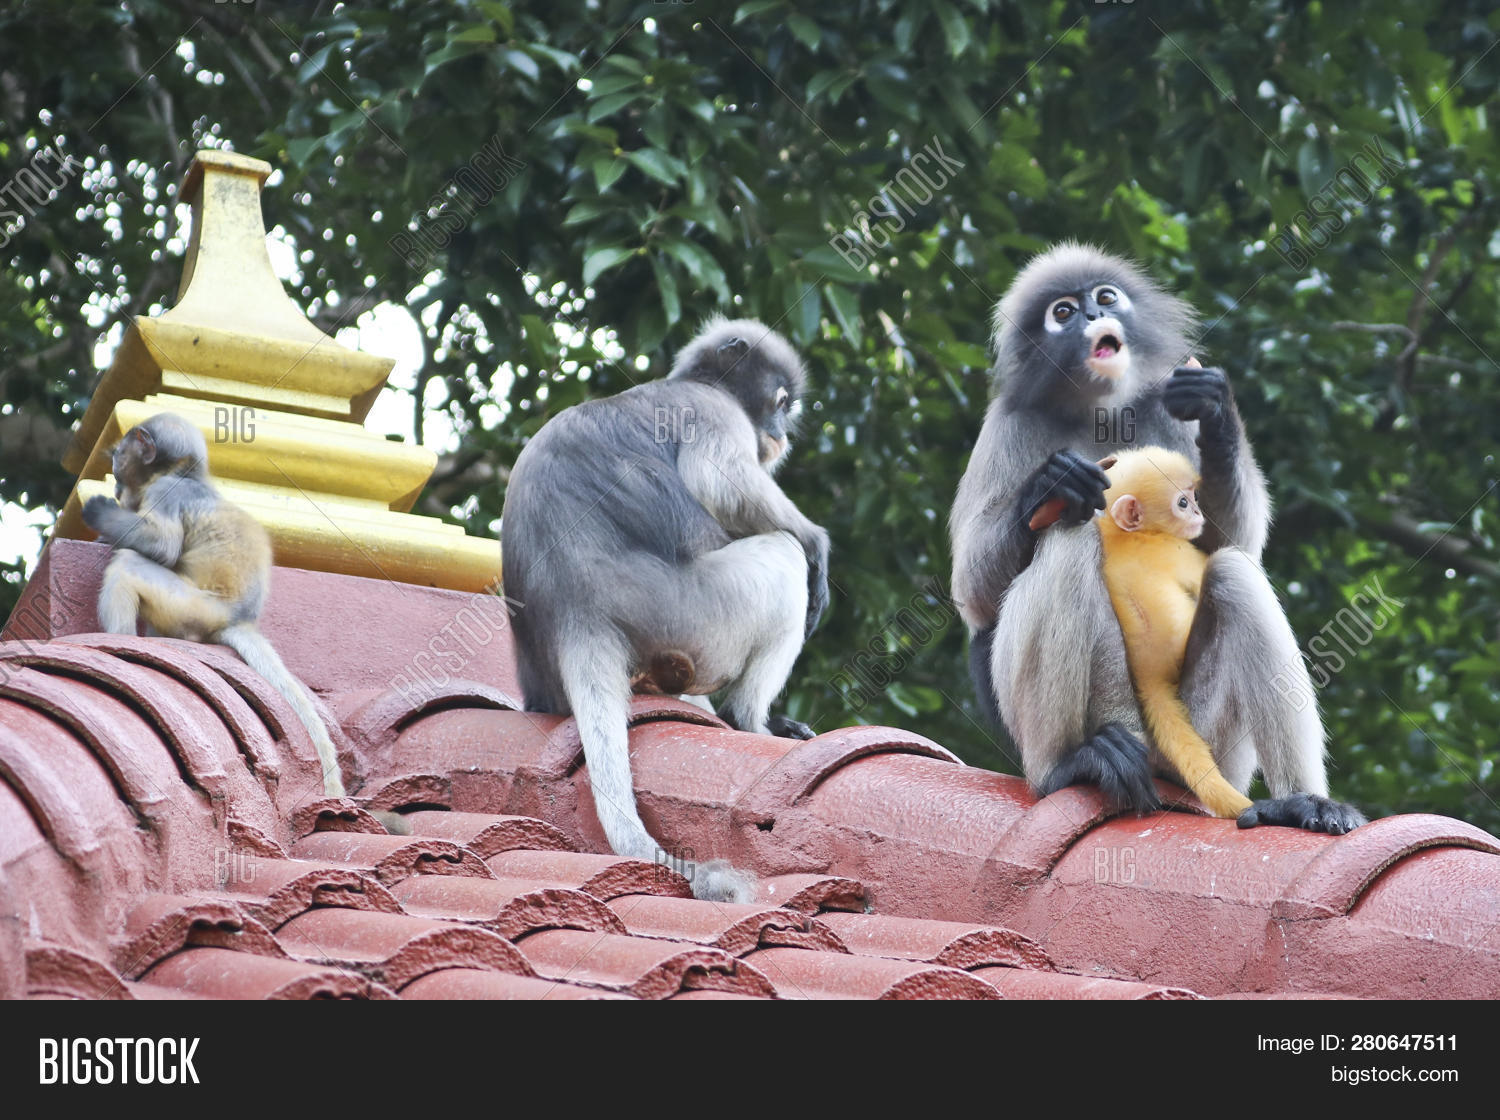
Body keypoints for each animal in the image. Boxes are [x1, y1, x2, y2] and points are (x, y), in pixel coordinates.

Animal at [80, 413, 349, 802]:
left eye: (119, 457)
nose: (115, 476)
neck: (187, 475)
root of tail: (240, 619)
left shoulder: (168, 492)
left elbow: (162, 546)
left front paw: (100, 514)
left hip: (194, 608)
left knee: (128, 564)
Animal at [501, 317, 830, 903]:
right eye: (780, 402)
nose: (780, 433)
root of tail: (576, 612)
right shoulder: (710, 411)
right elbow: (719, 484)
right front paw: (818, 544)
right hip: (700, 610)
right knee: (784, 557)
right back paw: (751, 720)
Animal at [1094, 447, 1253, 819]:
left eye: (1194, 497)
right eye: (1183, 503)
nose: (1197, 511)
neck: (1126, 535)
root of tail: (1151, 679)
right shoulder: (1177, 552)